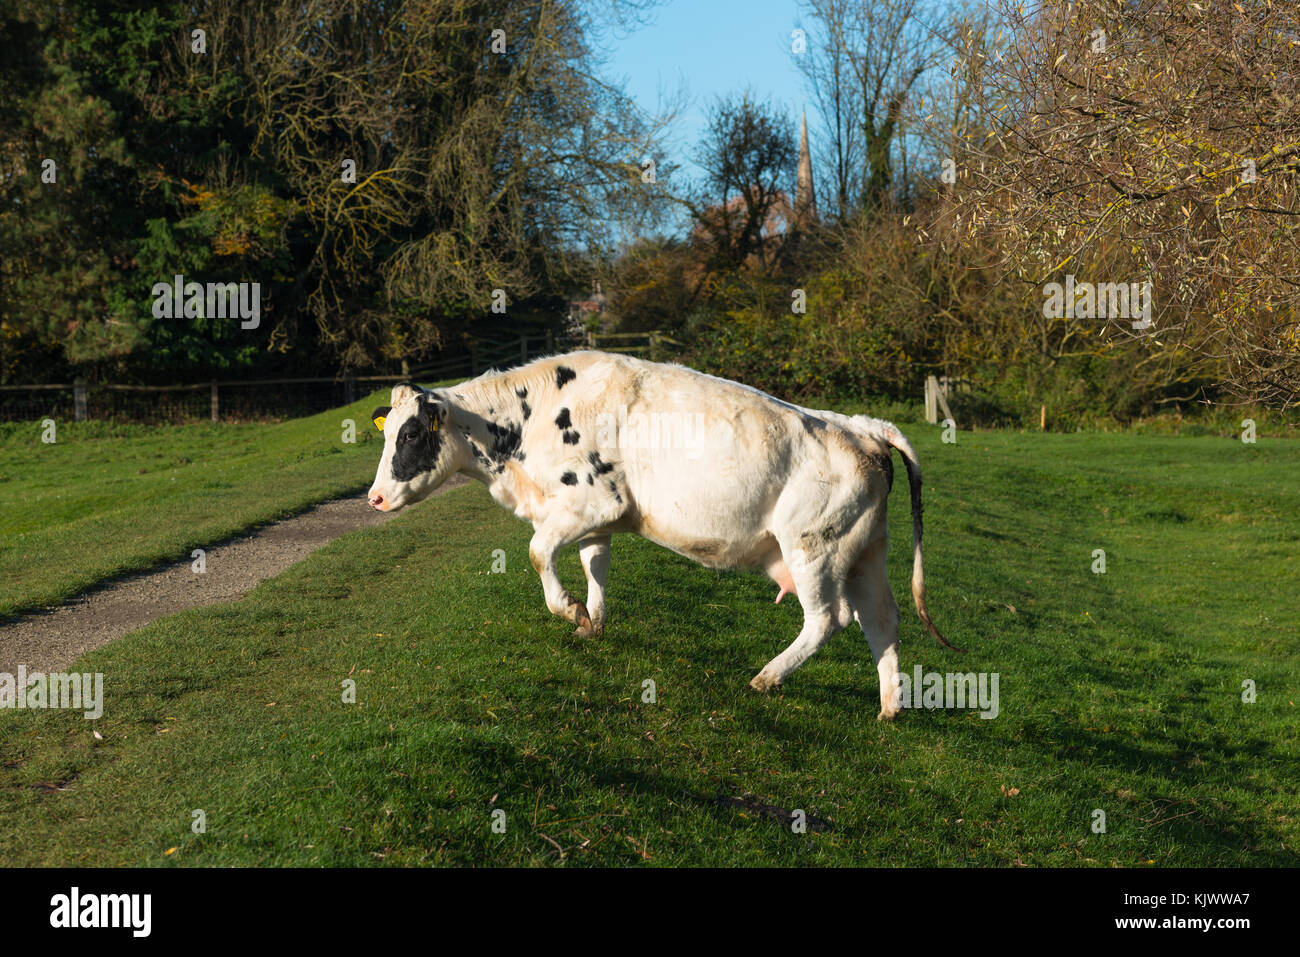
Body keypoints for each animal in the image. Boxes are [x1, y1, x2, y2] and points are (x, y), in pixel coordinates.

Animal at [366, 351, 959, 720]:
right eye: (388, 431)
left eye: (412, 434)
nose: (373, 498)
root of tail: (863, 427)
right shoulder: (598, 518)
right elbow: (594, 565)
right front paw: (592, 622)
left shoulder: (589, 502)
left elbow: (538, 553)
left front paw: (567, 609)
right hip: (865, 552)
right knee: (881, 619)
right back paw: (889, 706)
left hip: (814, 548)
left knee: (829, 619)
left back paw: (768, 677)